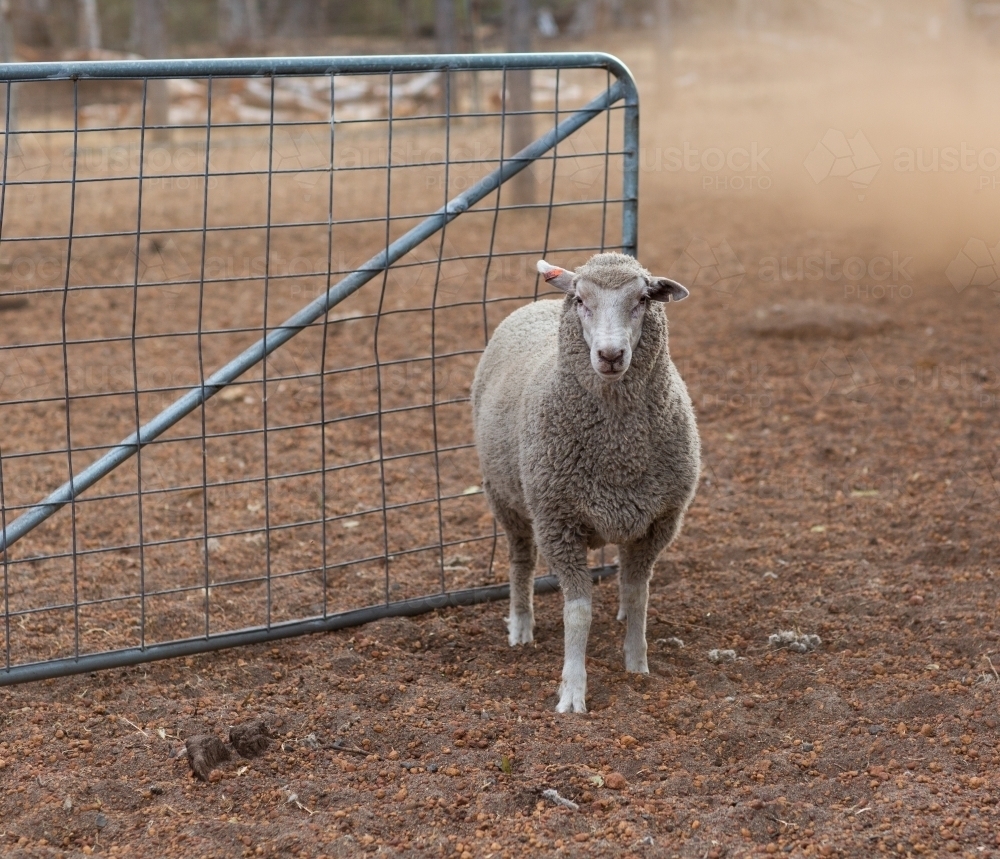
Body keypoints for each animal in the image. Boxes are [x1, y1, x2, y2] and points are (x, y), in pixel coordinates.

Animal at [471, 252, 701, 713]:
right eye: (580, 300)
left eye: (643, 299)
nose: (610, 354)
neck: (618, 454)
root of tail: (539, 303)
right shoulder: (558, 524)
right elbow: (577, 613)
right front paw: (573, 690)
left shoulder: (657, 523)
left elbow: (639, 595)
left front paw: (637, 664)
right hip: (505, 497)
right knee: (520, 560)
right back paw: (520, 625)